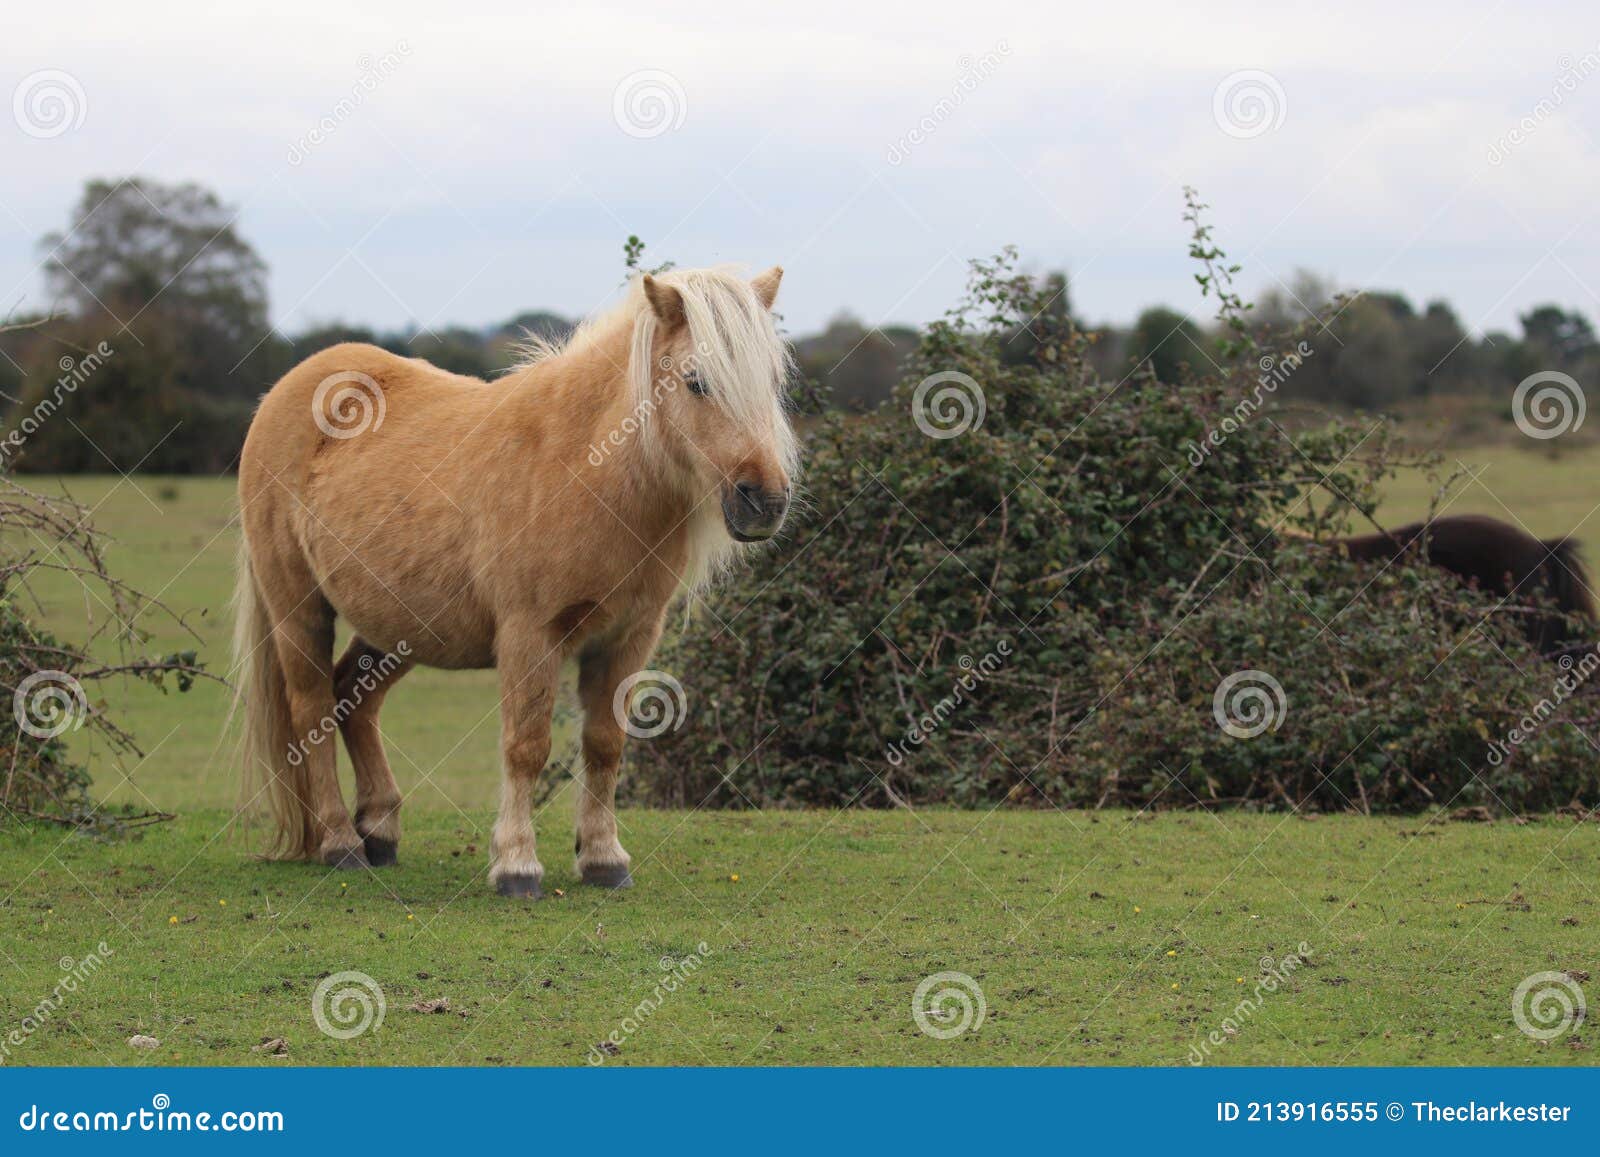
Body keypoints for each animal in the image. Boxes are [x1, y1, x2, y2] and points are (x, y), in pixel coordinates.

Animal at [233, 265, 796, 898]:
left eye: (773, 380)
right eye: (697, 381)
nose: (766, 502)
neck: (587, 467)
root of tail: (291, 388)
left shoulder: (629, 638)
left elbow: (605, 744)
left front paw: (603, 859)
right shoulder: (530, 635)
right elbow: (527, 747)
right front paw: (517, 865)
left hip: (398, 627)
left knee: (355, 698)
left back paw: (378, 831)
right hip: (298, 609)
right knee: (312, 708)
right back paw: (339, 843)